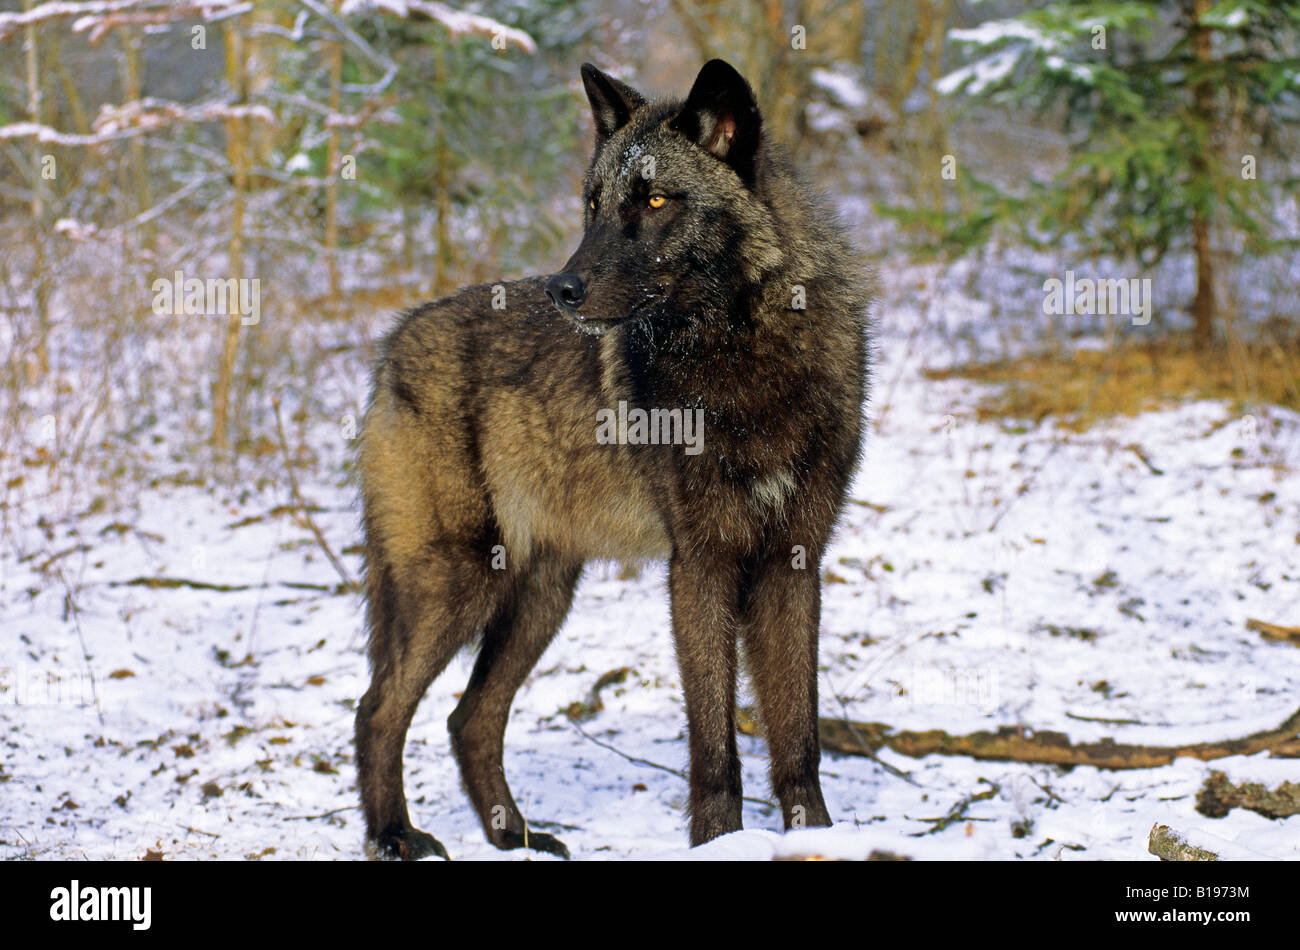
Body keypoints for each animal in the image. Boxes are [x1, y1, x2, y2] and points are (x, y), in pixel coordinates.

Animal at [354, 59, 869, 860]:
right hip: (454, 587)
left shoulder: (793, 563)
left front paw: (815, 836)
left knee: (468, 718)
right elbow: (714, 742)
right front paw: (716, 841)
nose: (562, 289)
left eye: (654, 199)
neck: (743, 358)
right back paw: (394, 837)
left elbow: (798, 739)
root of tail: (392, 346)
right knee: (377, 710)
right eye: (592, 206)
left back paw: (515, 838)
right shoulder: (700, 566)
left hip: (539, 598)